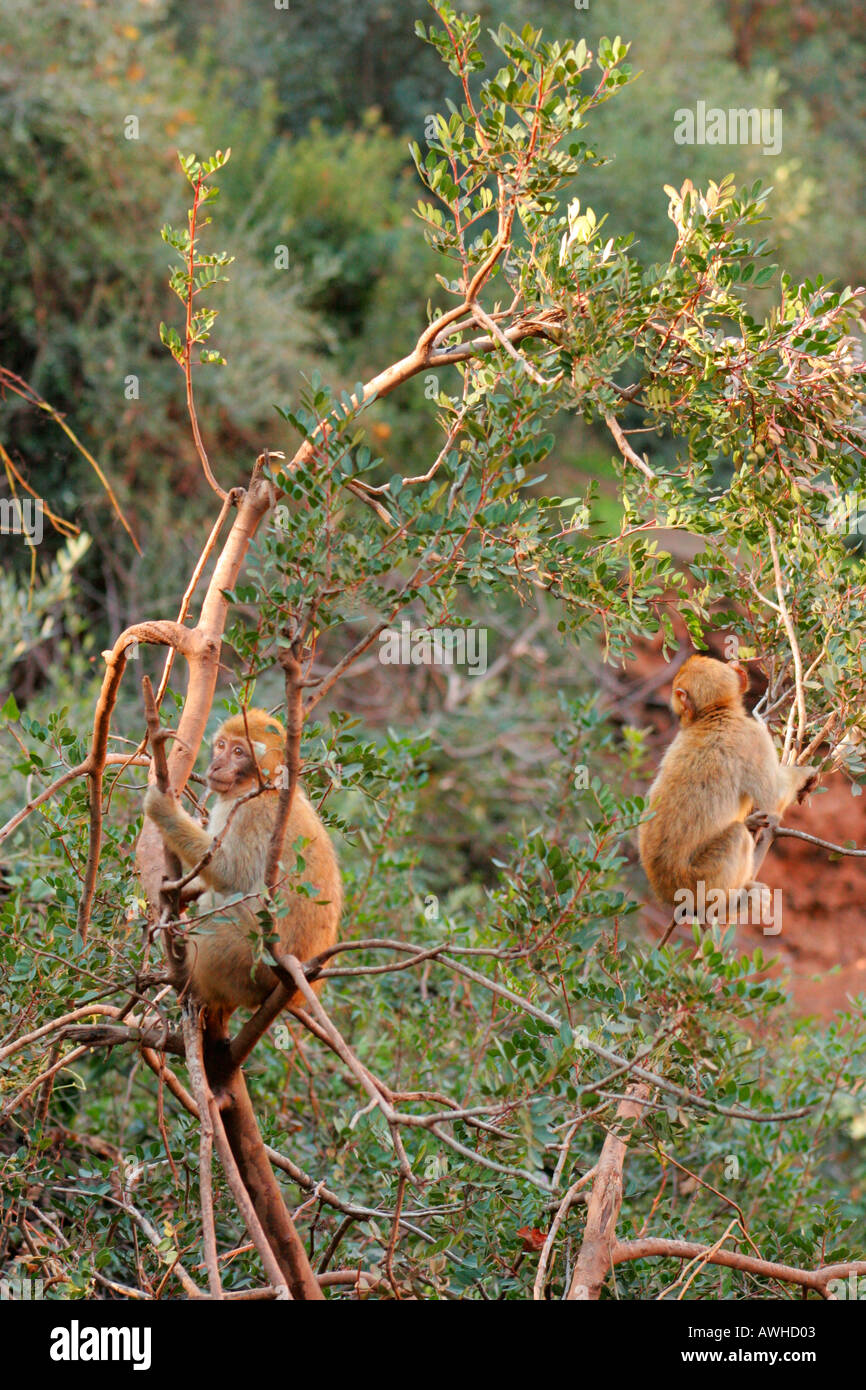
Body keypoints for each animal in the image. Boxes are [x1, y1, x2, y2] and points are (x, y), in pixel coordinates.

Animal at [144, 709, 340, 1028]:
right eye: (222, 745)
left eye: (239, 752)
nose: (217, 764)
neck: (264, 789)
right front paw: (184, 893)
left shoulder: (248, 813)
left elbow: (229, 875)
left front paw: (164, 808)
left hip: (246, 964)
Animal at [638, 655, 818, 928]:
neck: (714, 714)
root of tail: (666, 893)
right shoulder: (753, 734)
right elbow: (773, 796)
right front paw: (805, 774)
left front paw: (753, 820)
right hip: (698, 881)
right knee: (736, 837)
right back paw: (730, 906)